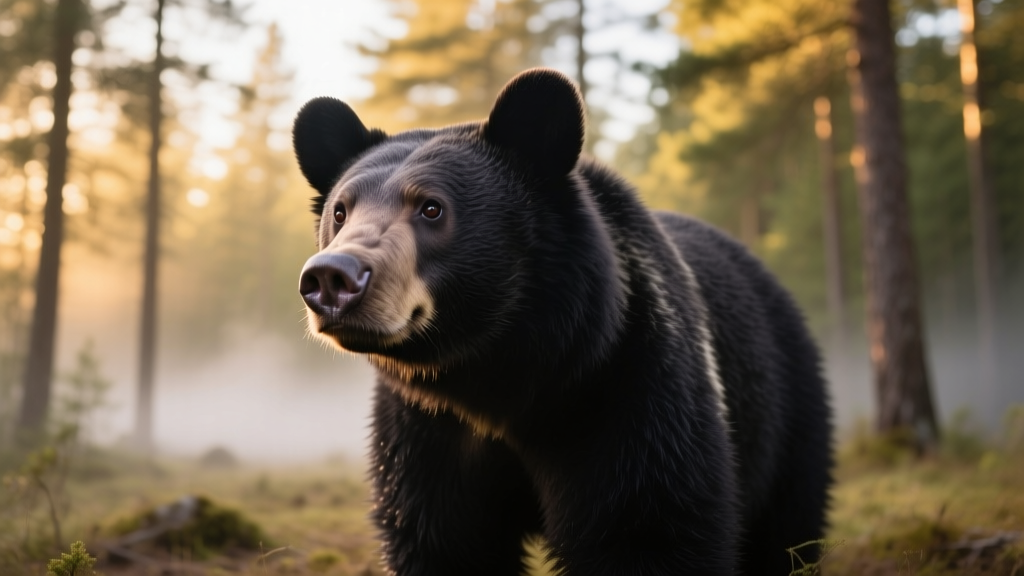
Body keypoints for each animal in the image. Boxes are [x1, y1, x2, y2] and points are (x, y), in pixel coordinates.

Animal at [293, 68, 833, 575]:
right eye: (340, 212)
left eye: (431, 207)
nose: (332, 278)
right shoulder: (425, 432)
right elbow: (442, 539)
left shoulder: (628, 392)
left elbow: (649, 528)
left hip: (784, 411)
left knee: (786, 530)